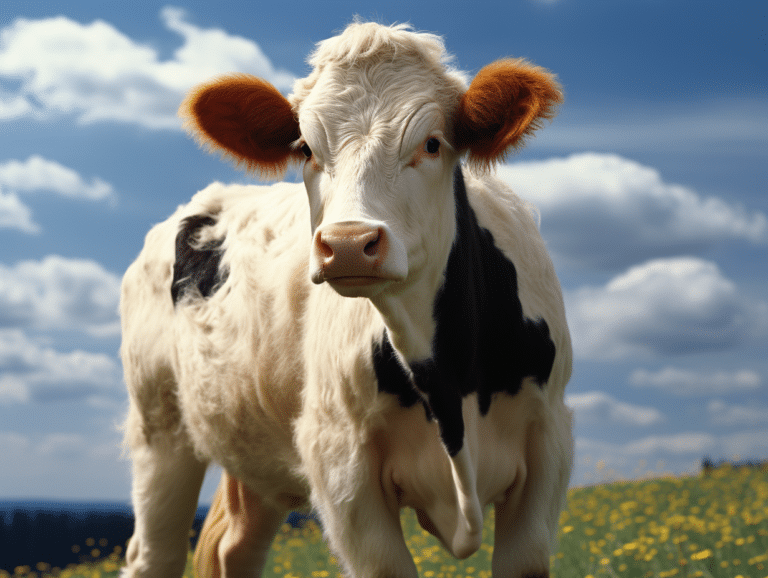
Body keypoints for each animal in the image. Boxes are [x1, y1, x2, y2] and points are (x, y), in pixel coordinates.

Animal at [120, 21, 573, 578]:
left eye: (432, 143)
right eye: (306, 149)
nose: (349, 243)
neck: (448, 382)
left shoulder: (550, 443)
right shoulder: (340, 464)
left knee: (235, 549)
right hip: (159, 430)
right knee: (153, 553)